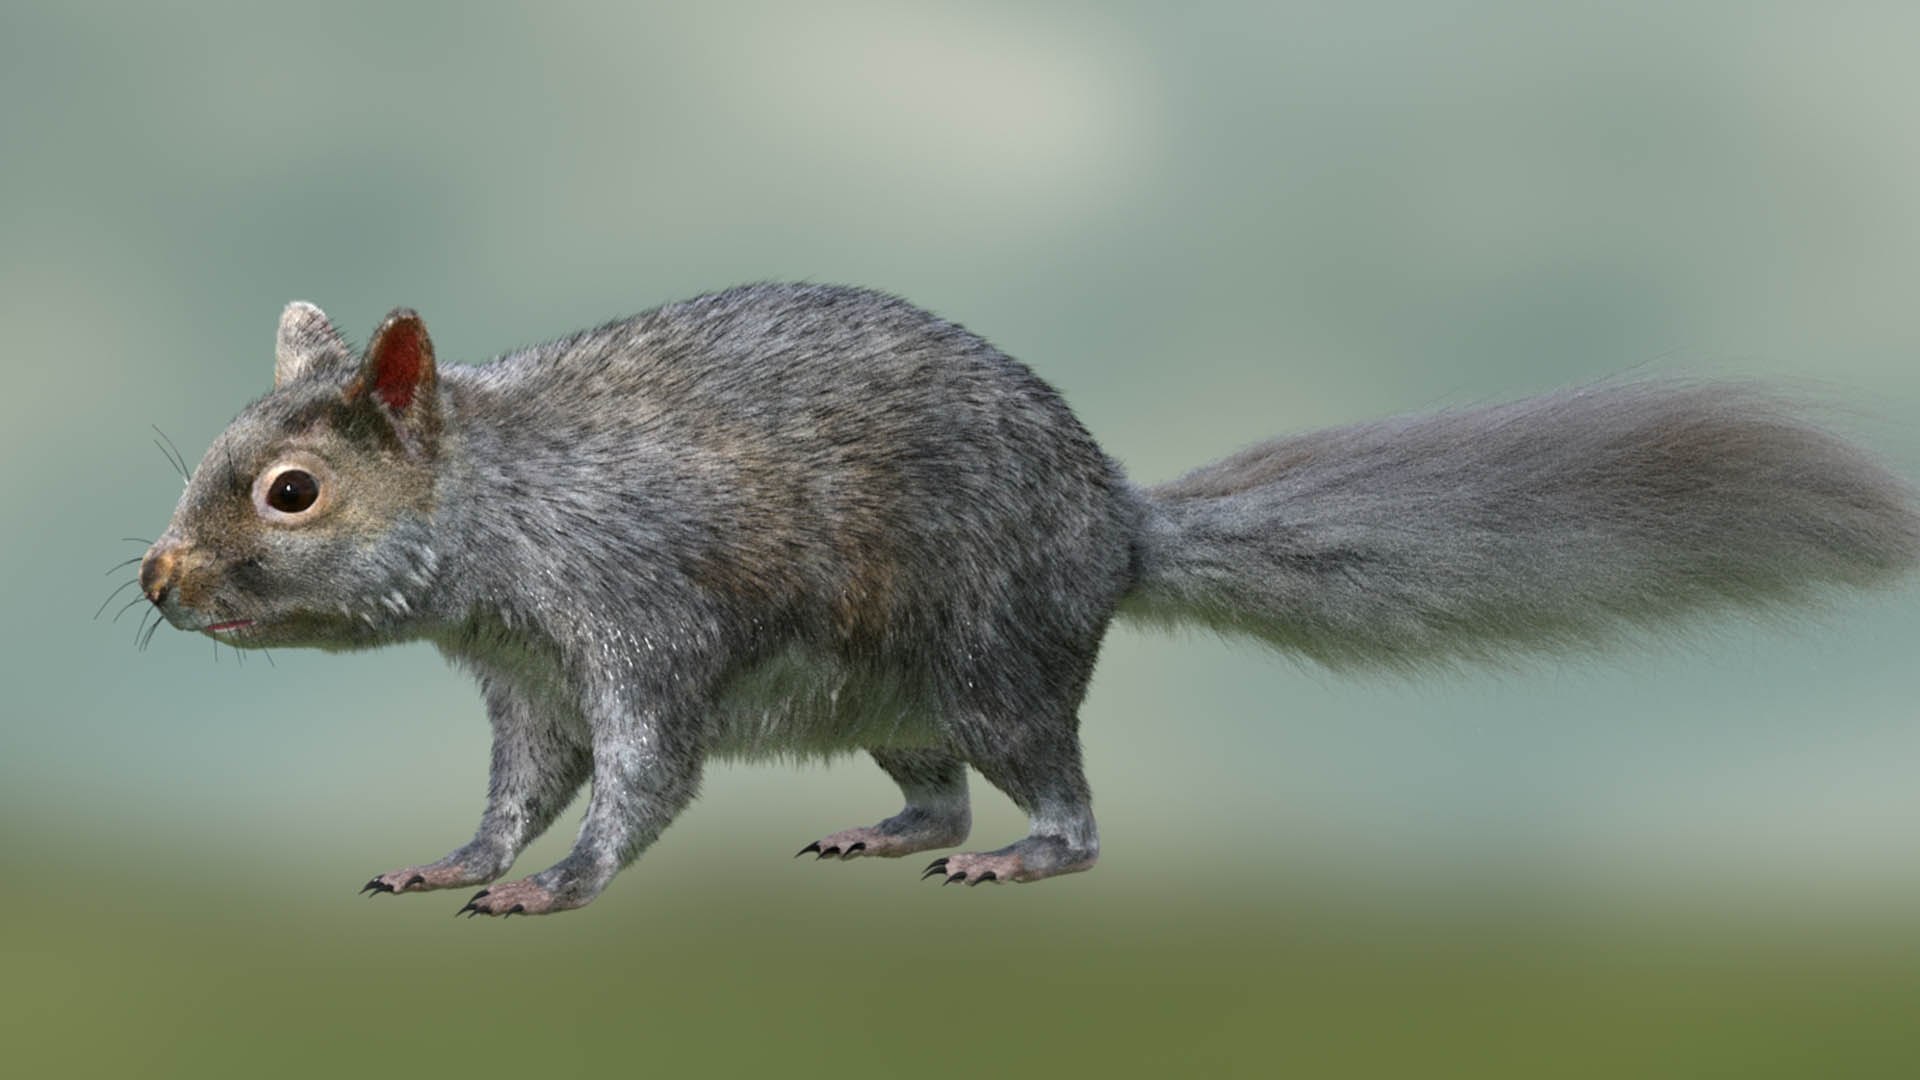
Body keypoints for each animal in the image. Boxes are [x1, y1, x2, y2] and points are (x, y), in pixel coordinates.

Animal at [135, 283, 1920, 916]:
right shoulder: (525, 677)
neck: (513, 509)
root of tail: (1118, 527)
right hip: (892, 700)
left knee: (1064, 804)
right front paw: (458, 861)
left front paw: (554, 888)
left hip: (995, 668)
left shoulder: (640, 622)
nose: (158, 578)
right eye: (219, 447)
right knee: (928, 791)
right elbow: (519, 785)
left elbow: (639, 778)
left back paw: (1020, 855)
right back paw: (890, 833)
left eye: (290, 492)